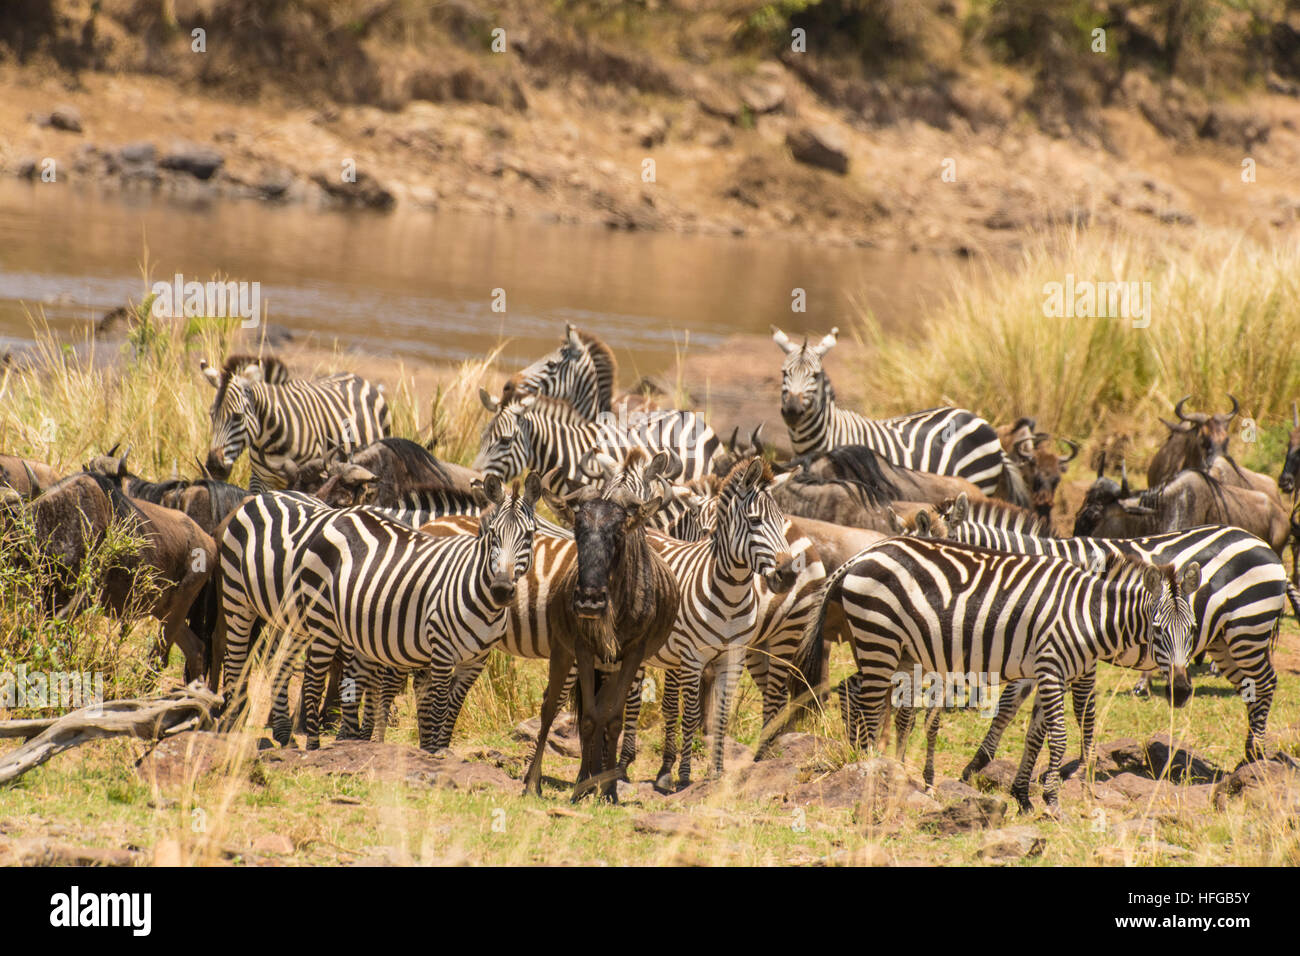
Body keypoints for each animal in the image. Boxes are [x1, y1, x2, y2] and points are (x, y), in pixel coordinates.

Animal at [200, 356, 390, 492]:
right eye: (211, 415)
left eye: (238, 417)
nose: (214, 468)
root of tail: (354, 375)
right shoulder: (260, 479)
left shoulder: (315, 475)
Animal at [292, 474, 540, 751]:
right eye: (494, 534)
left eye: (529, 535)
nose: (501, 589)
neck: (485, 604)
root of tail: (345, 515)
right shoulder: (441, 650)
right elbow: (439, 708)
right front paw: (434, 752)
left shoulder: (476, 661)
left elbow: (452, 710)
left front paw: (441, 749)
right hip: (321, 618)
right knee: (313, 680)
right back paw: (313, 746)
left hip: (359, 631)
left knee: (353, 680)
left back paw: (350, 740)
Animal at [796, 536, 1200, 811]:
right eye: (1157, 630)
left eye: (1193, 630)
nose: (1181, 692)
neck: (1086, 613)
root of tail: (863, 553)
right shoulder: (1052, 668)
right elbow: (1059, 737)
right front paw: (1053, 800)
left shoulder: (1047, 672)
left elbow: (1035, 736)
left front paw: (1024, 796)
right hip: (878, 636)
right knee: (866, 703)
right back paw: (871, 771)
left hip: (898, 649)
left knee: (856, 693)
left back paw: (878, 767)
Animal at [938, 494, 1288, 768]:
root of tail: (1259, 542)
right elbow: (1010, 705)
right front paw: (979, 762)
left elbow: (1080, 706)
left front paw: (1086, 762)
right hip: (1223, 641)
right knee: (1251, 689)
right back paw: (1248, 757)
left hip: (1247, 629)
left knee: (1265, 684)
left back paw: (1256, 756)